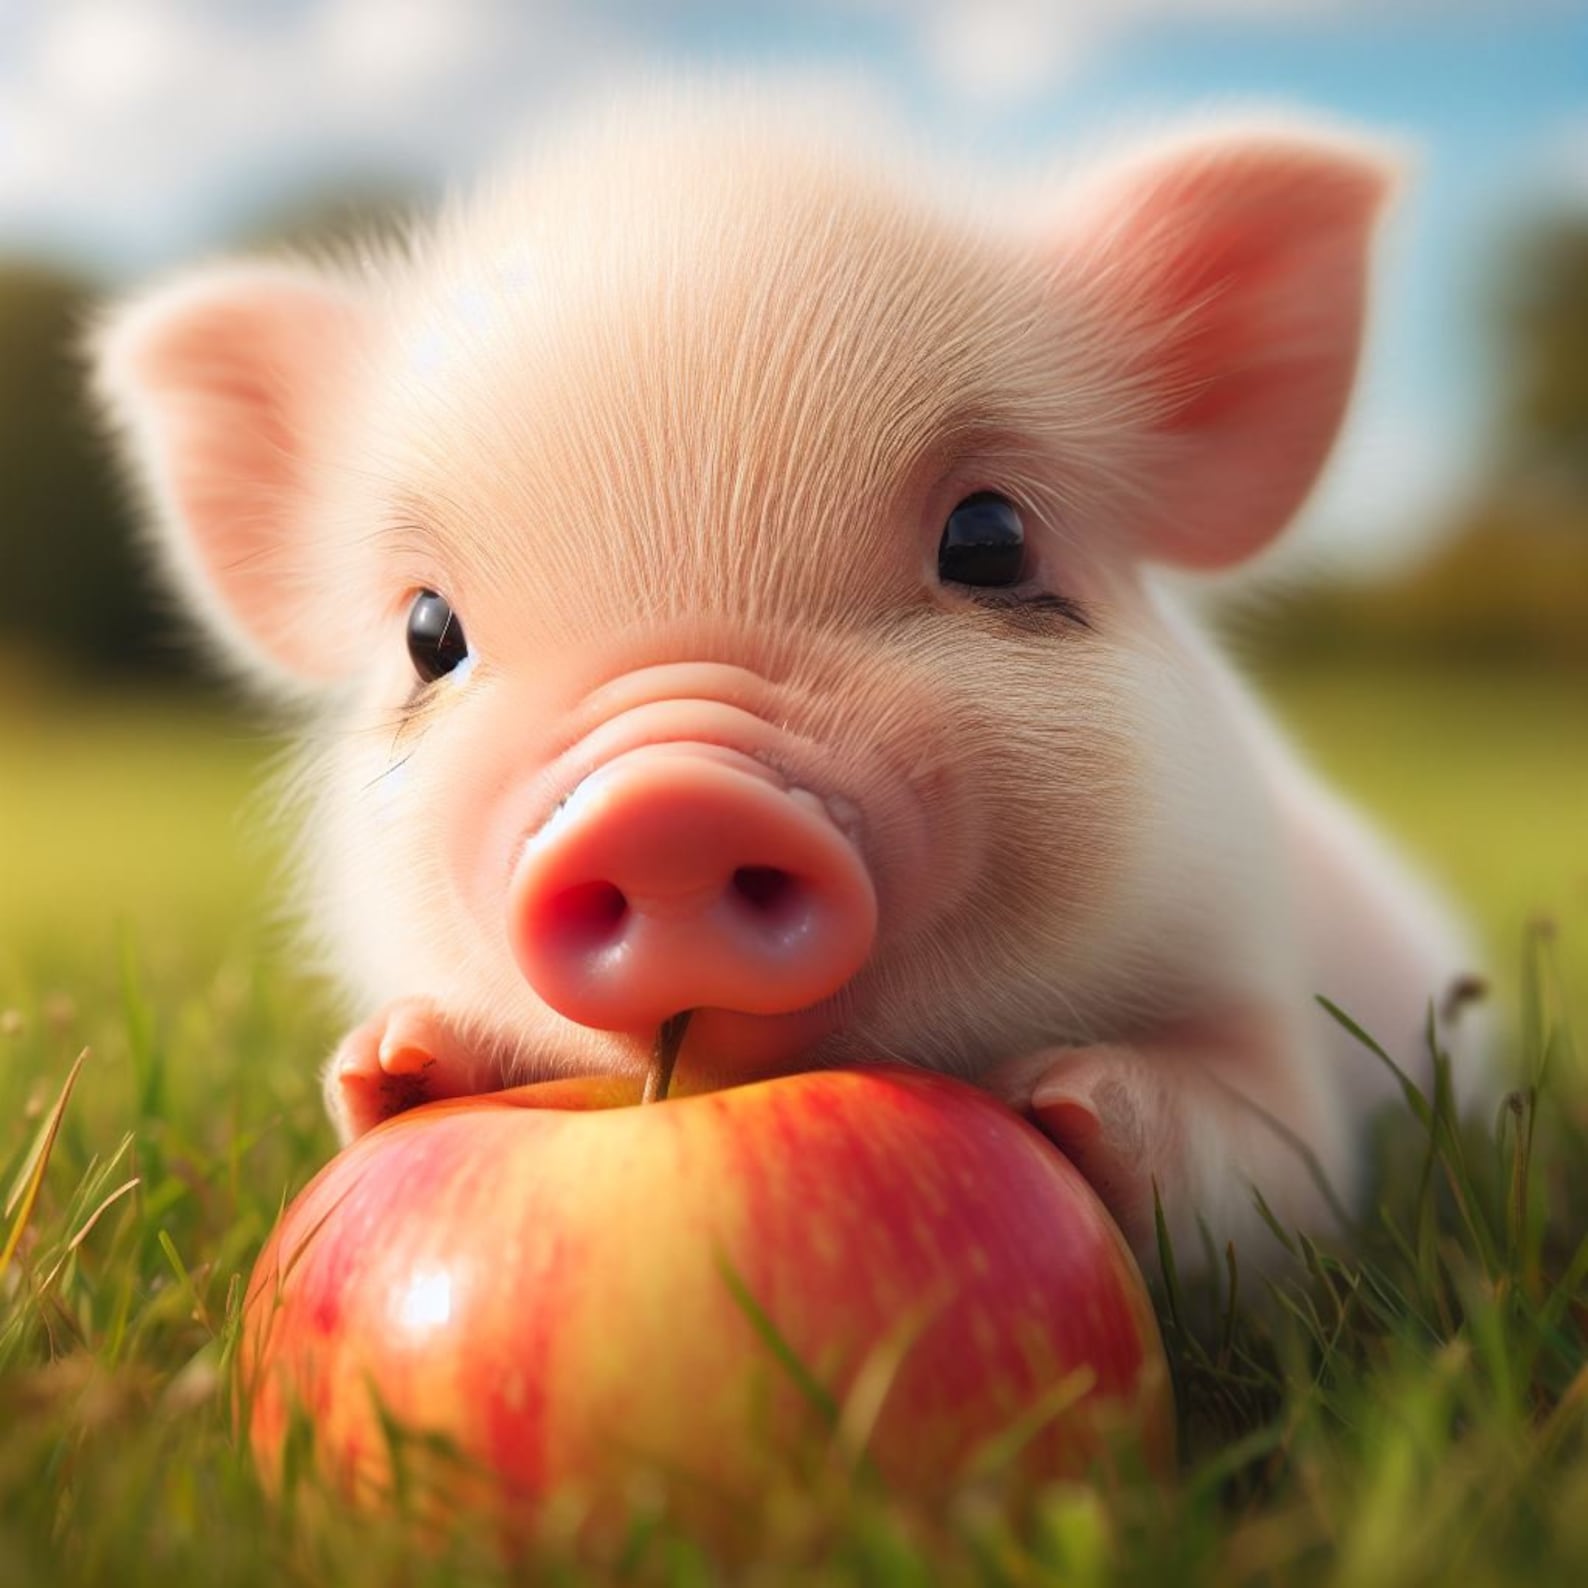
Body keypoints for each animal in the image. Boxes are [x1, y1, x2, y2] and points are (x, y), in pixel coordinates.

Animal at [92, 85, 1486, 1270]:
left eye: (991, 538)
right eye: (429, 634)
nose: (666, 804)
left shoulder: (1256, 979)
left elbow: (1275, 1160)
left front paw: (1066, 1101)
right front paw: (401, 1059)